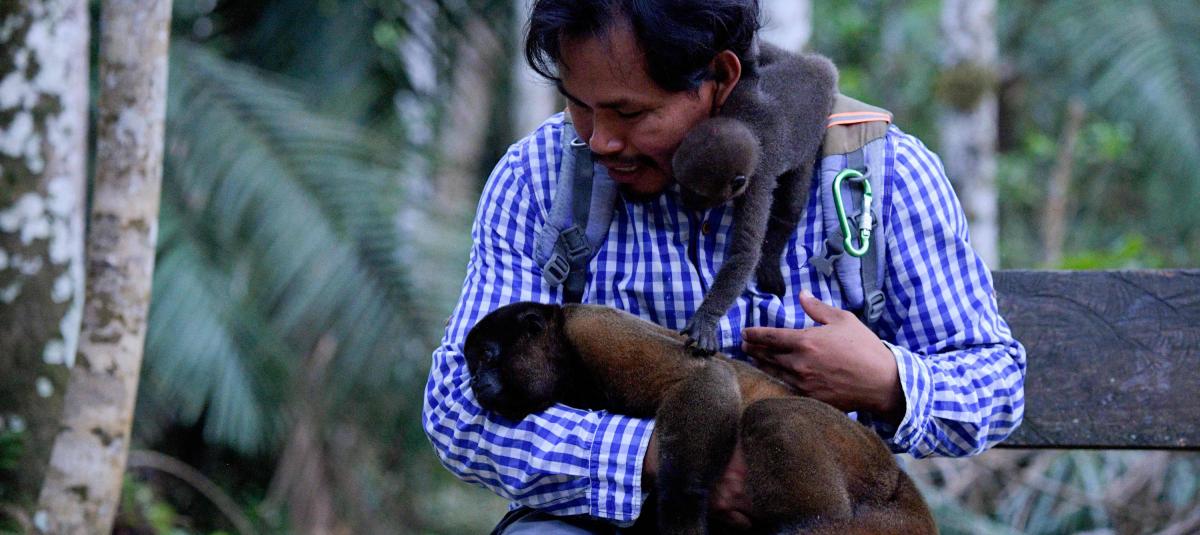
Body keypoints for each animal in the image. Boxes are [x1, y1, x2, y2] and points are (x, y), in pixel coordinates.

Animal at [464, 301, 938, 535]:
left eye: (487, 356)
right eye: (470, 363)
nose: (473, 382)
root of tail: (898, 481)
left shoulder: (594, 329)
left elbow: (703, 375)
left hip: (862, 467)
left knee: (771, 414)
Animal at [673, 44, 839, 354]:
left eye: (697, 193)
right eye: (679, 182)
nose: (686, 202)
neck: (749, 127)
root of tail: (823, 71)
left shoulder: (757, 183)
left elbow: (746, 252)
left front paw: (706, 318)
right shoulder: (740, 96)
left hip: (811, 145)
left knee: (790, 206)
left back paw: (770, 261)